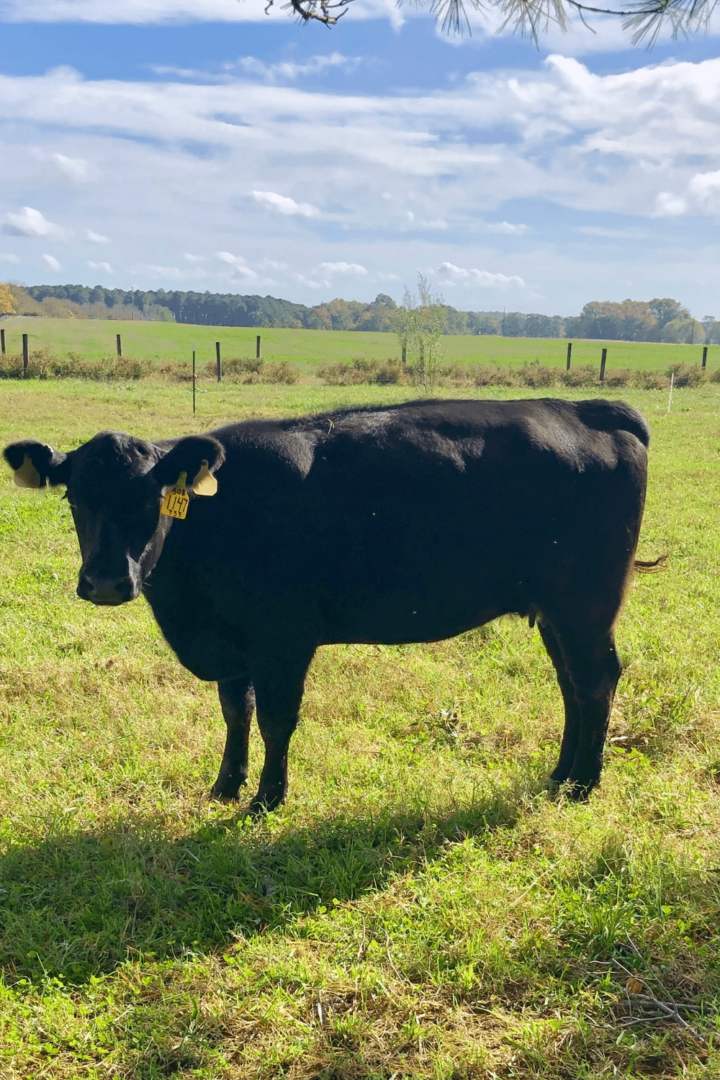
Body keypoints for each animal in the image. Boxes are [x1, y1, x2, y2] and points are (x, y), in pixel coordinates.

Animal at [5, 397, 651, 813]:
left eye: (153, 497)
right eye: (74, 498)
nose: (107, 582)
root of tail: (585, 409)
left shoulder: (282, 639)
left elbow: (275, 718)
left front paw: (267, 800)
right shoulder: (232, 644)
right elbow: (235, 713)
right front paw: (225, 787)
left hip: (585, 603)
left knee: (596, 680)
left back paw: (584, 785)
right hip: (555, 611)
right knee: (571, 683)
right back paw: (560, 774)